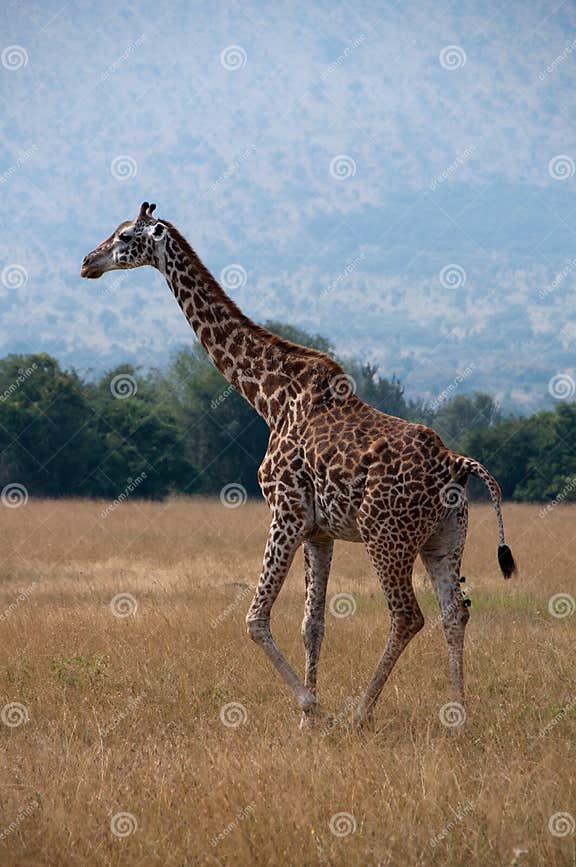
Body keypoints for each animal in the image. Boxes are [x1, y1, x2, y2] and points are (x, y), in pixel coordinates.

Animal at [81, 202, 516, 729]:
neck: (269, 397)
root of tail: (456, 463)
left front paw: (312, 708)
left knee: (407, 615)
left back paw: (360, 713)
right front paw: (308, 720)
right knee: (455, 612)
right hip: (445, 537)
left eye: (125, 235)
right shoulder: (319, 530)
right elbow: (313, 623)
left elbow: (255, 617)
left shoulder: (285, 510)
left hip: (385, 536)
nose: (87, 262)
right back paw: (457, 715)